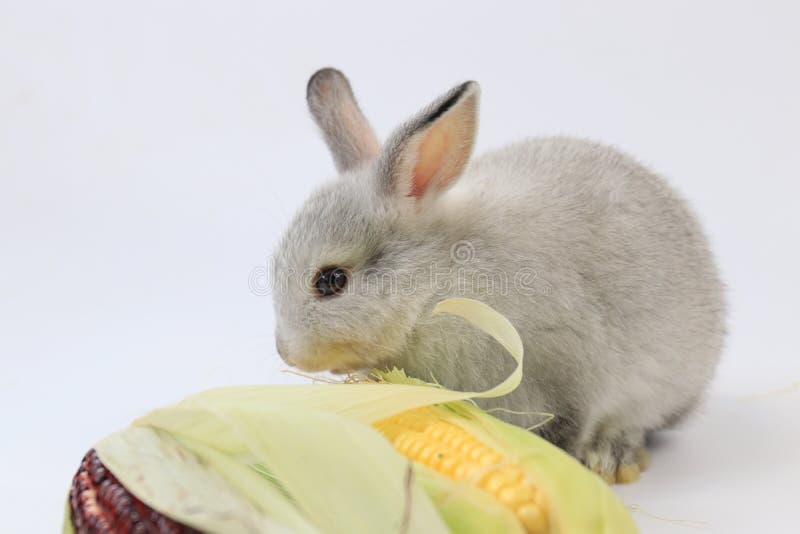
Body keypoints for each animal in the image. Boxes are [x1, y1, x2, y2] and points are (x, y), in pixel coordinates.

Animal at [271, 68, 725, 483]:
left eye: (331, 281)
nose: (286, 352)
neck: (434, 285)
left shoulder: (561, 370)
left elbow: (563, 427)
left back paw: (613, 457)